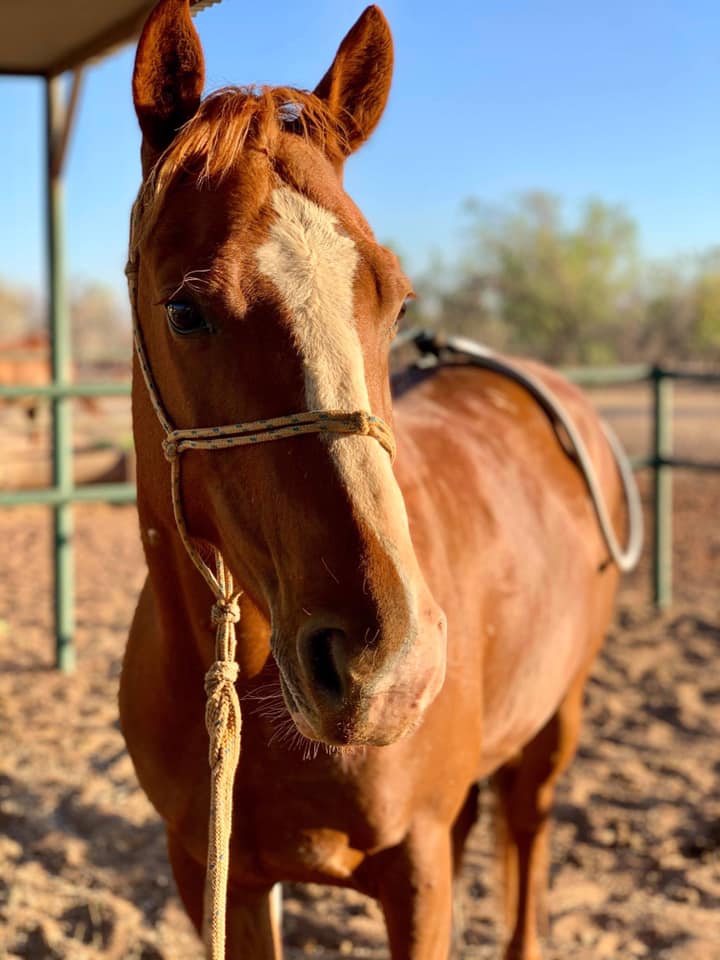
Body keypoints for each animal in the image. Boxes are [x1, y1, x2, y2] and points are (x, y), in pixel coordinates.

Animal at [119, 2, 636, 957]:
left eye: (395, 298)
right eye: (183, 309)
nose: (386, 668)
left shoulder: (416, 872)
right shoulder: (221, 873)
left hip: (556, 726)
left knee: (529, 834)